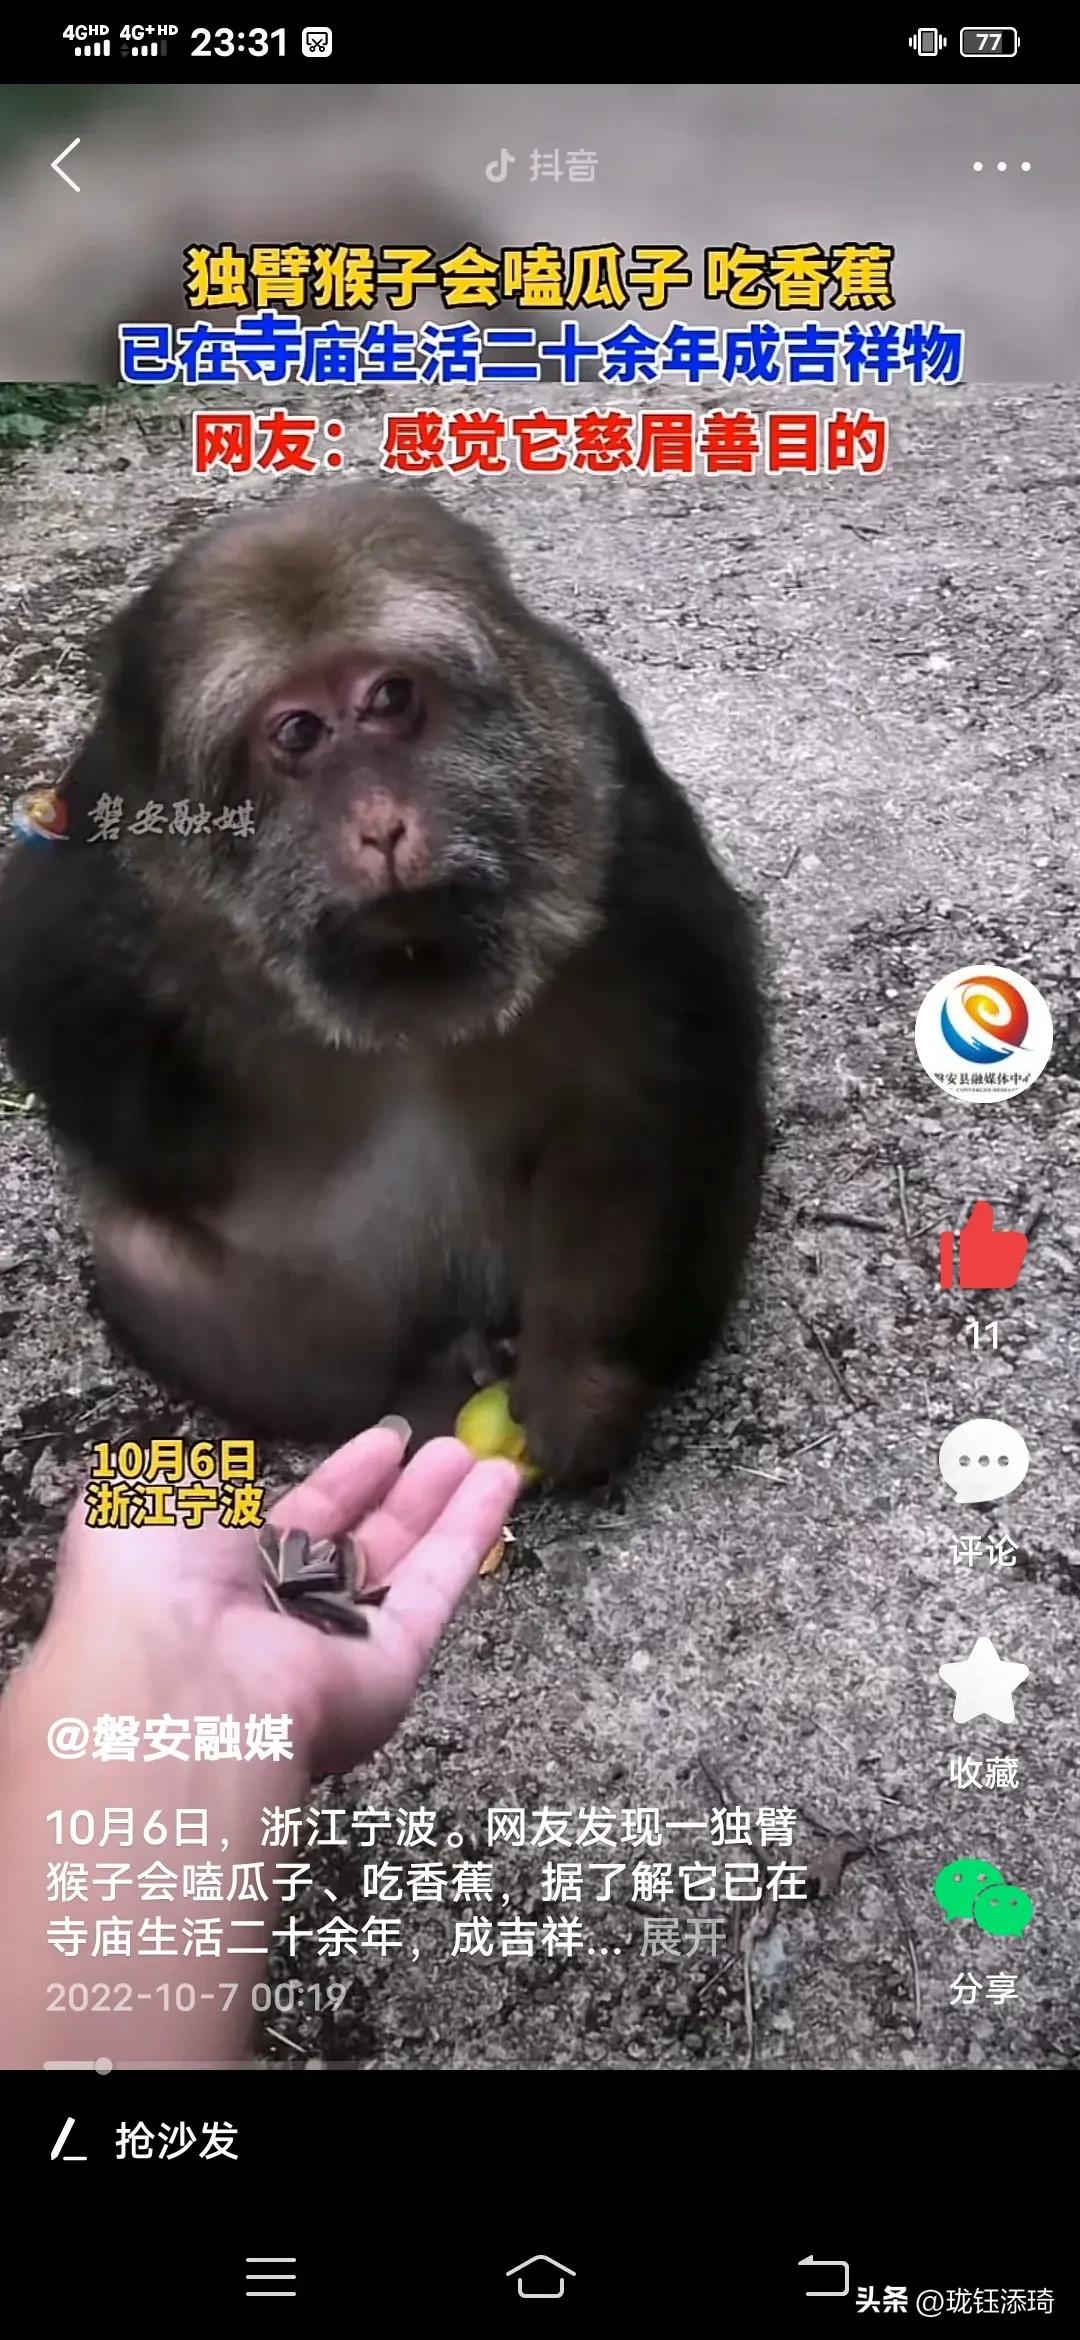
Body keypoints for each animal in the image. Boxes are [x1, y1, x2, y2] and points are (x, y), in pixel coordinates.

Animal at [0, 484, 766, 1488]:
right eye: (298, 733)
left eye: (390, 699)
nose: (382, 825)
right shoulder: (102, 846)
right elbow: (66, 1021)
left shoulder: (609, 806)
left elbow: (648, 1089)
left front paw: (581, 1377)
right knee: (149, 1251)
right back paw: (416, 1381)